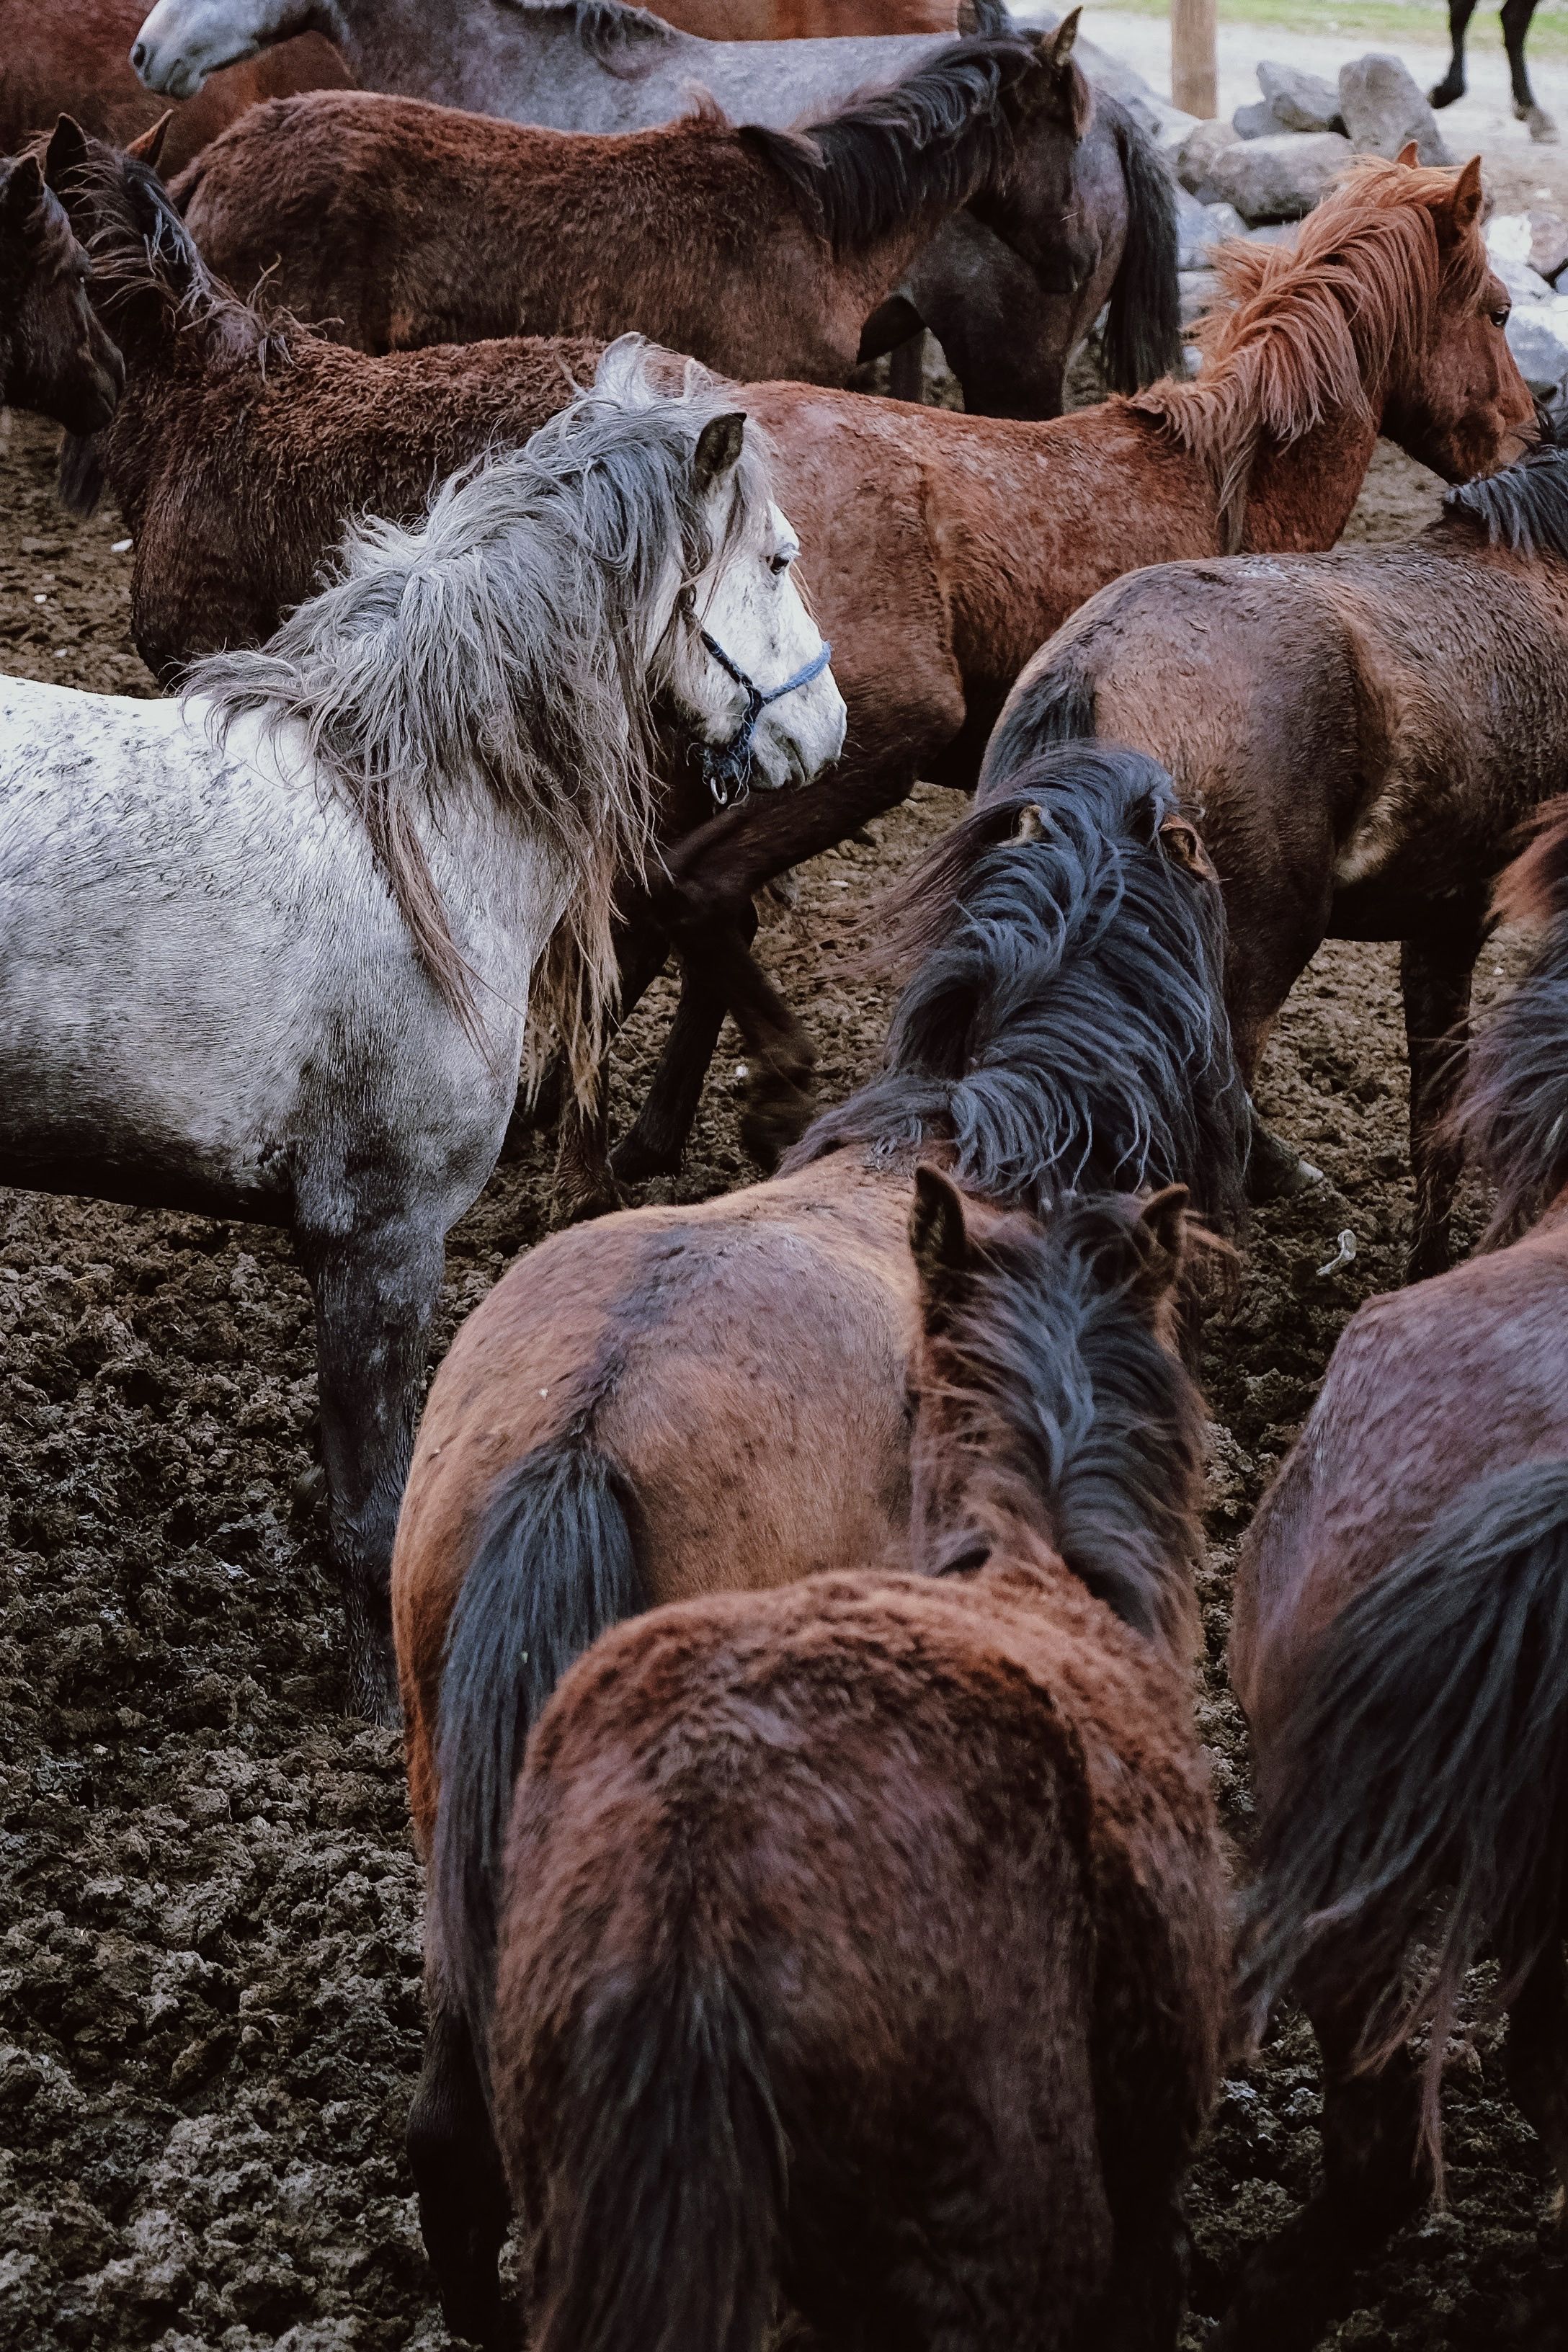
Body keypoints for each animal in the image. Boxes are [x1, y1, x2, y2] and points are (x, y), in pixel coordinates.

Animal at [0, 344, 844, 1729]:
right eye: (774, 558)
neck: (415, 823)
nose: (824, 730)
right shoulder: (380, 1237)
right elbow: (371, 1514)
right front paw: (379, 1713)